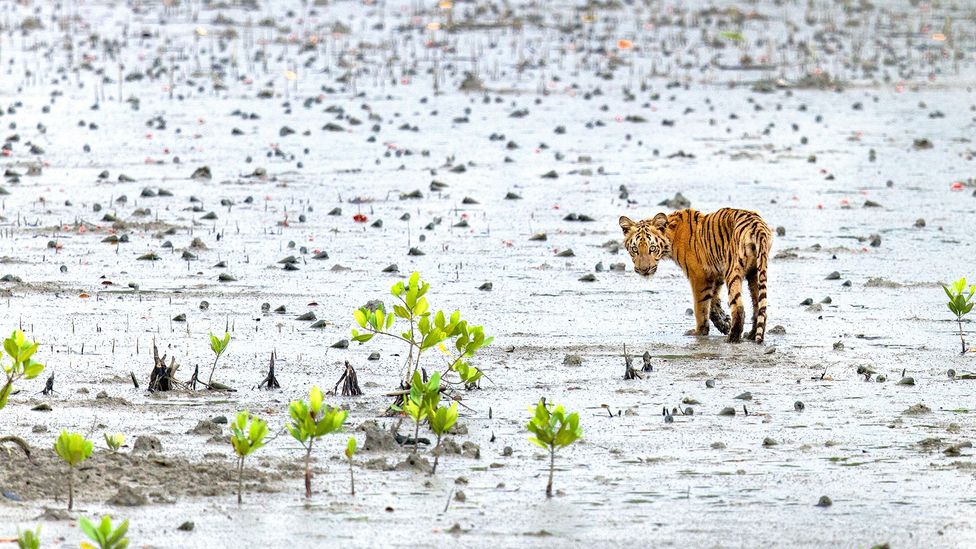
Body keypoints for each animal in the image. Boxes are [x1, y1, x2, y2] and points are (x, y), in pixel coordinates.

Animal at [618, 208, 772, 344]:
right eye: (635, 249)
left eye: (652, 248)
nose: (644, 270)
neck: (671, 236)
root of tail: (757, 226)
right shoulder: (716, 273)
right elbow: (713, 301)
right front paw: (723, 323)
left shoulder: (699, 276)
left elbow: (701, 306)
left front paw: (700, 331)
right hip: (755, 272)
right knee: (758, 305)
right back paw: (751, 334)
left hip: (733, 271)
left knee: (739, 307)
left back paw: (732, 338)